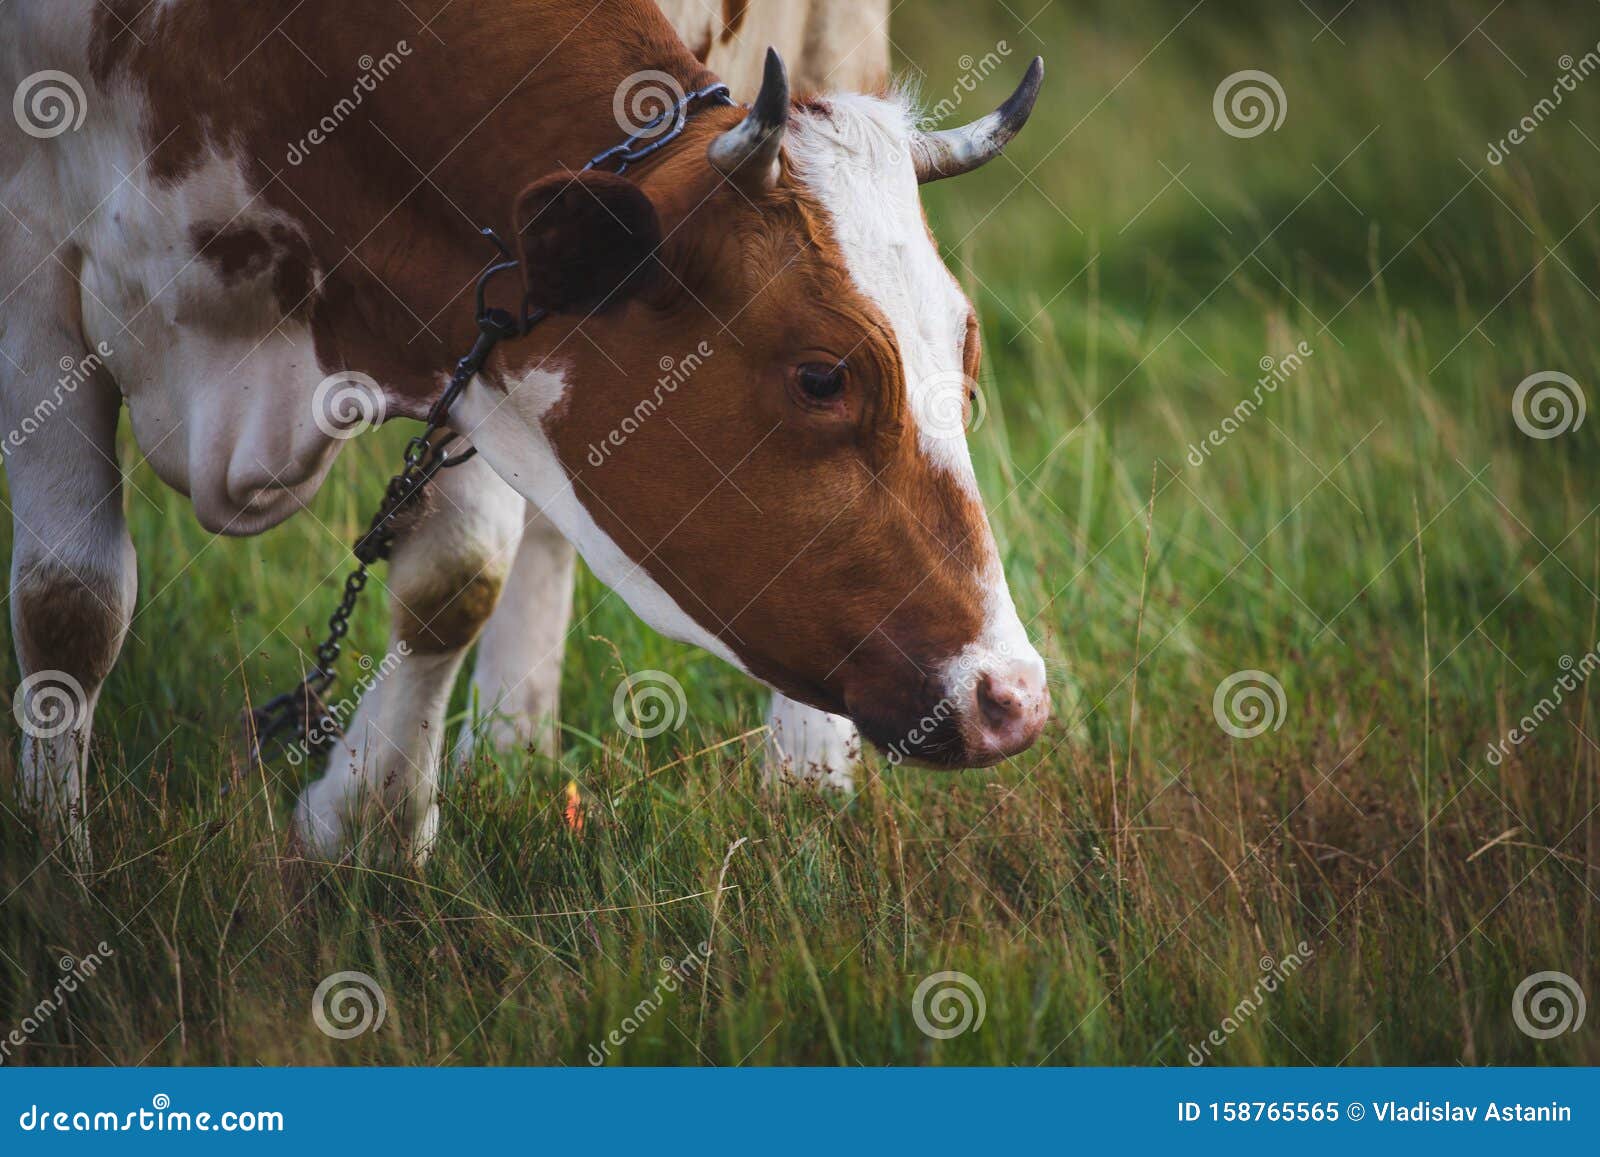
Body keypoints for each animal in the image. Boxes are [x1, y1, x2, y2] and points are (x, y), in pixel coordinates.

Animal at [0, 0, 1049, 867]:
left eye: (964, 354)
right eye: (823, 375)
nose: (1013, 699)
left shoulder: (479, 337)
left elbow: (454, 575)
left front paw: (369, 824)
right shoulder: (31, 252)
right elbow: (71, 601)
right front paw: (55, 861)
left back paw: (797, 778)